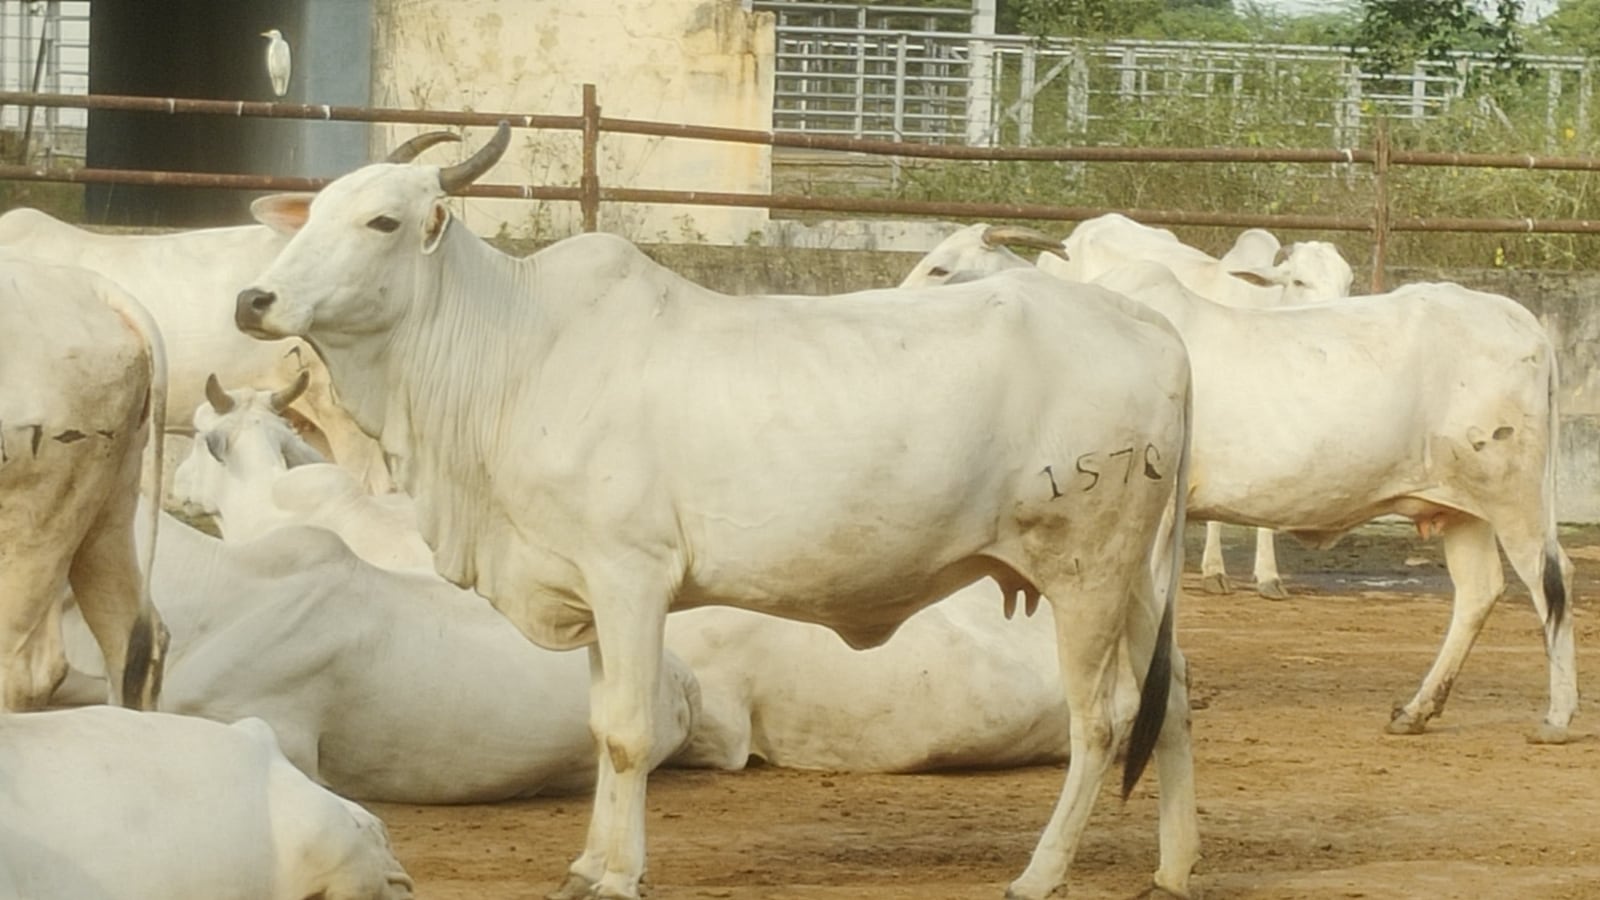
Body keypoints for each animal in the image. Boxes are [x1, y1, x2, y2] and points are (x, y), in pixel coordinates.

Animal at [233, 122, 1201, 900]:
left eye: (382, 222)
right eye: (312, 216)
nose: (253, 300)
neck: (511, 352)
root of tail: (1153, 326)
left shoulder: (631, 578)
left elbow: (627, 734)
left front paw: (617, 875)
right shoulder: (590, 591)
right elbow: (601, 727)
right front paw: (588, 864)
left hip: (1087, 569)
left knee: (1103, 718)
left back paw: (1041, 872)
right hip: (1137, 578)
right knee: (1176, 697)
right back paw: (1176, 866)